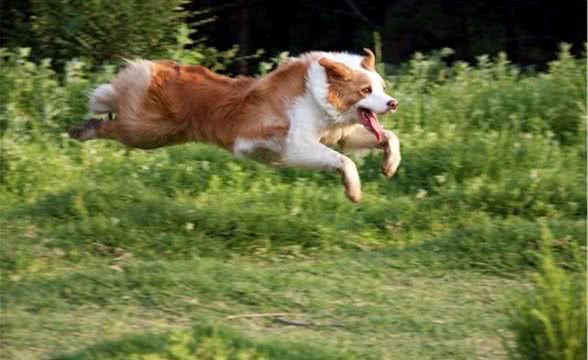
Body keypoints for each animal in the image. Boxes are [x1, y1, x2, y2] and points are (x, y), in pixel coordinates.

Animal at [69, 49, 400, 202]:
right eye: (365, 90)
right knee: (110, 123)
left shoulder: (337, 135)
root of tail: (159, 69)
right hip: (146, 131)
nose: (393, 103)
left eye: (382, 87)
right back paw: (81, 130)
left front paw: (390, 165)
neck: (317, 95)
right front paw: (354, 192)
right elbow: (343, 161)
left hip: (158, 133)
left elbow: (389, 136)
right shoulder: (293, 146)